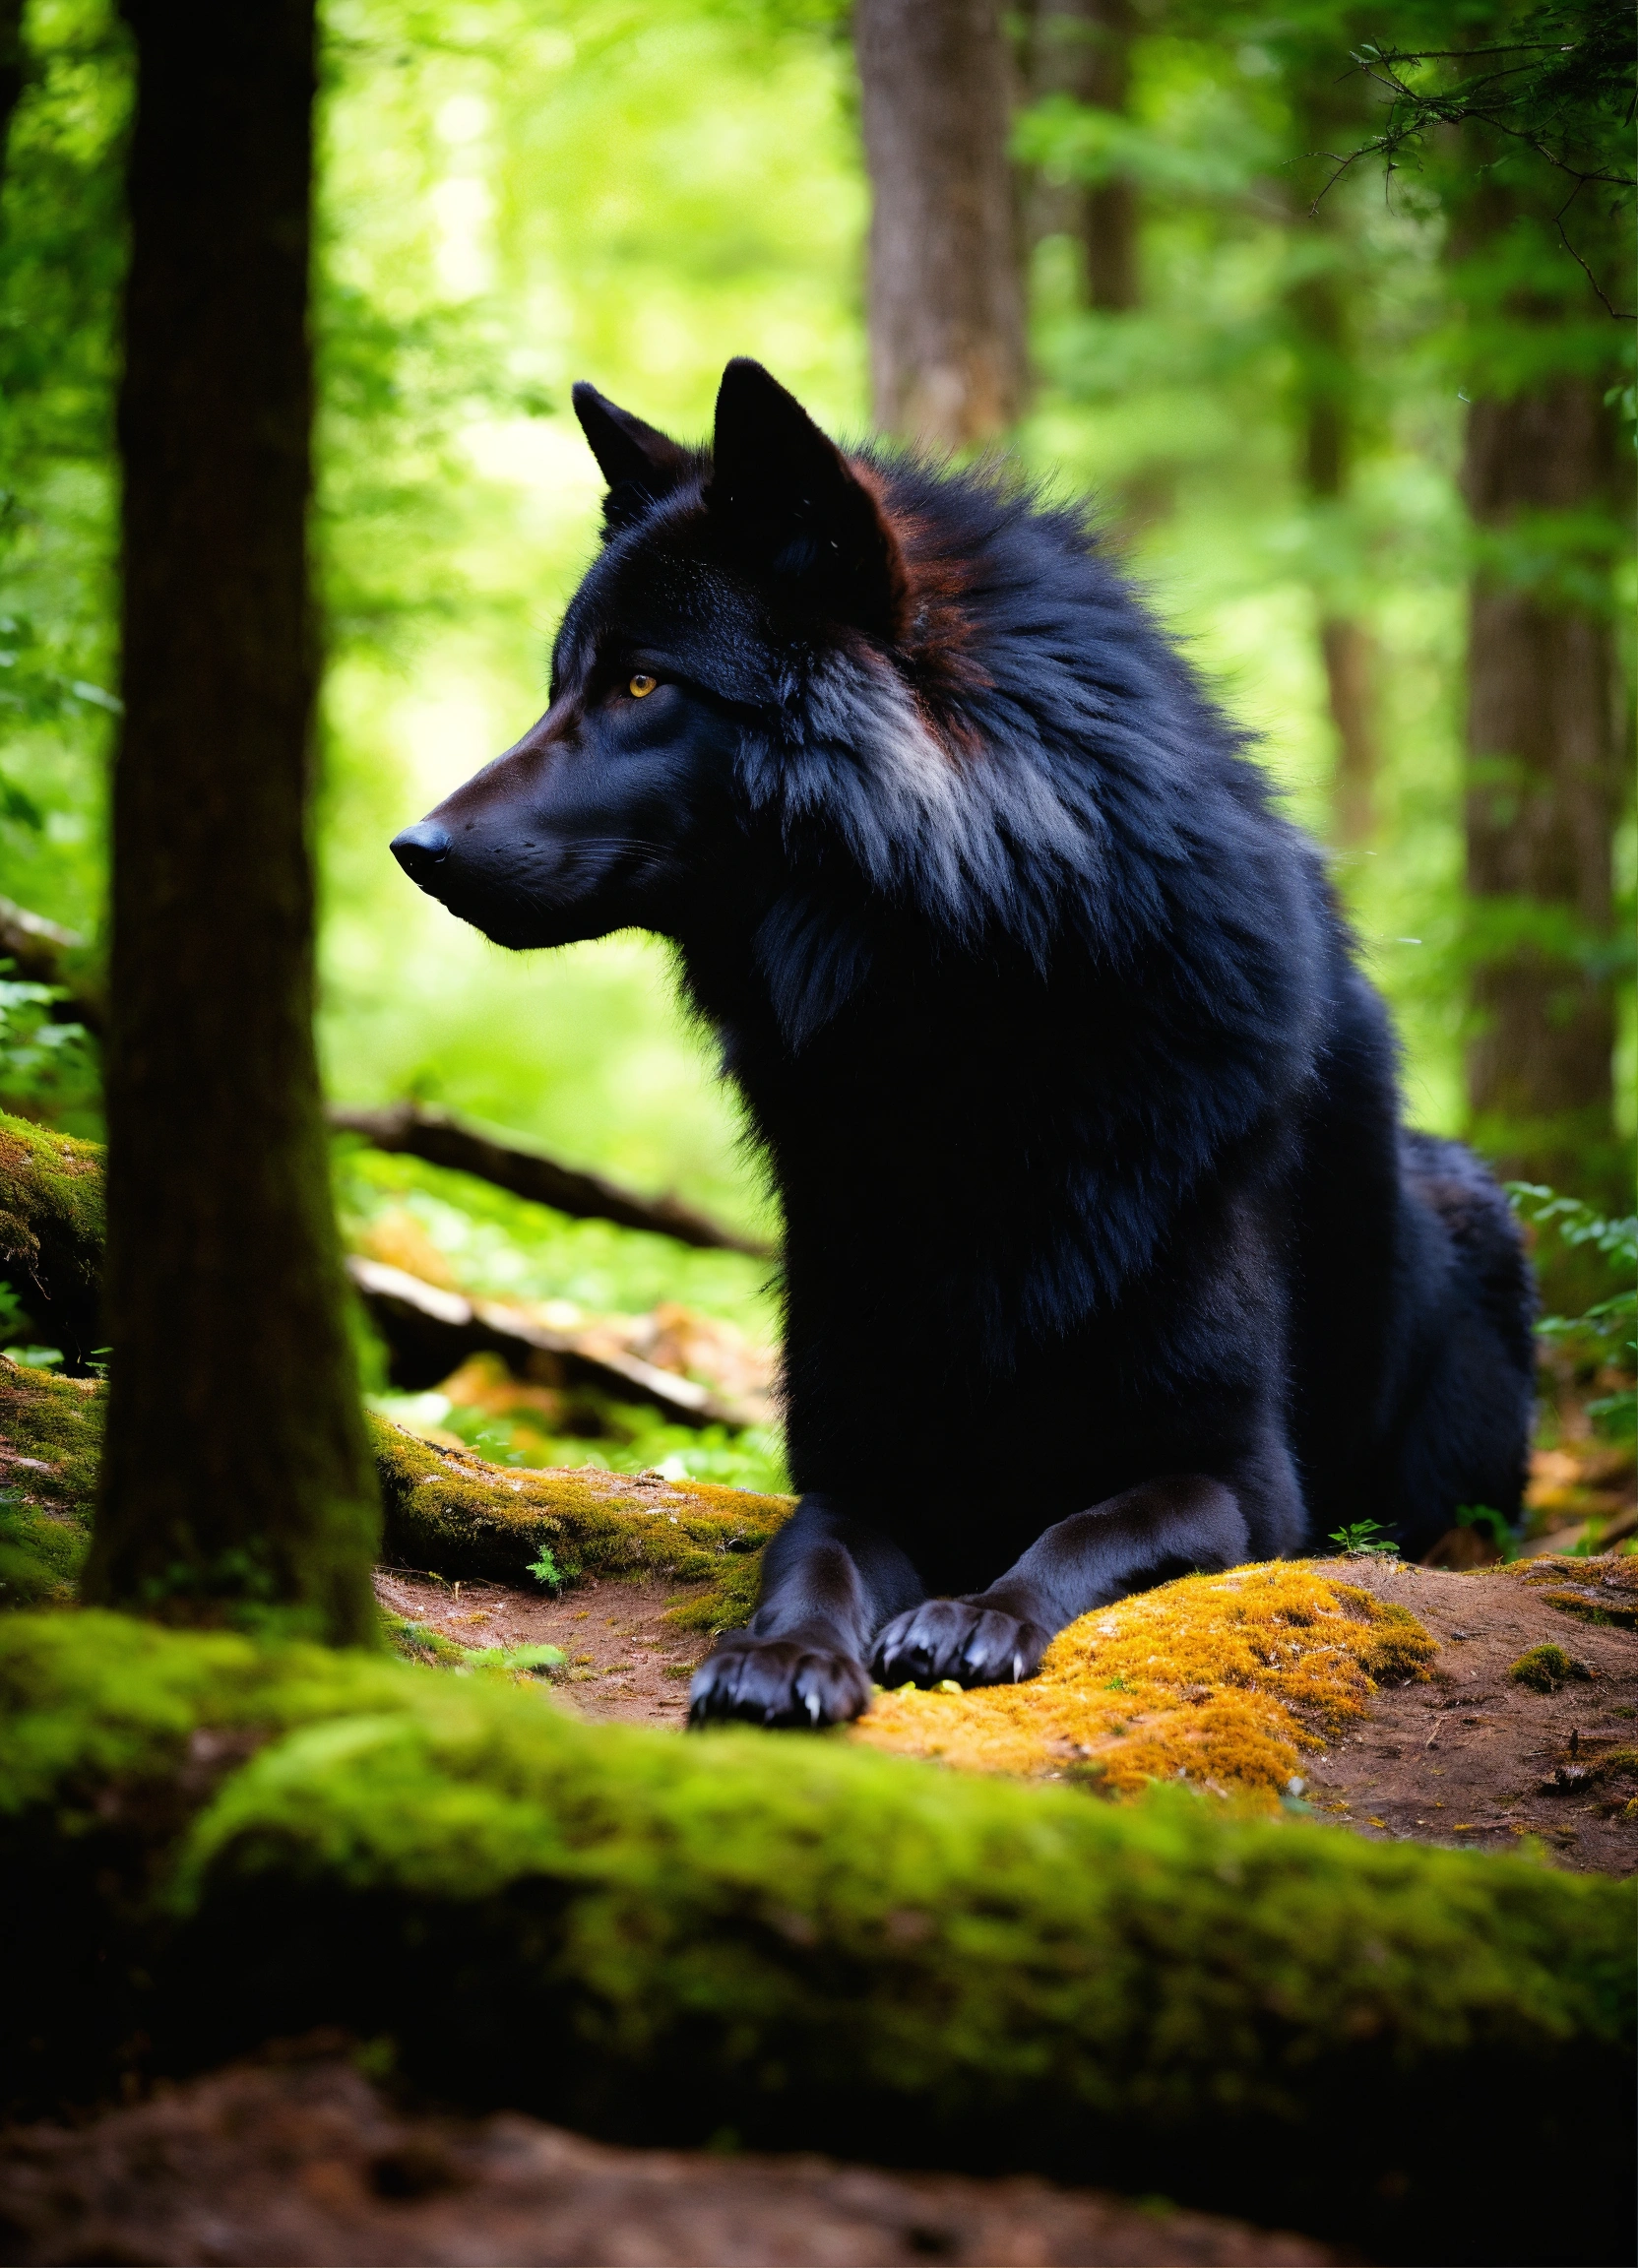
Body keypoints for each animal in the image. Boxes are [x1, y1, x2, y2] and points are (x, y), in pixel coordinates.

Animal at [391, 358, 1534, 1730]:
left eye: (641, 685)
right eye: (561, 681)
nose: (412, 848)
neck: (963, 1034)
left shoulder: (1240, 1481)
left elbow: (1088, 1527)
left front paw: (976, 1615)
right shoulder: (855, 1459)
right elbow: (816, 1559)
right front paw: (788, 1654)